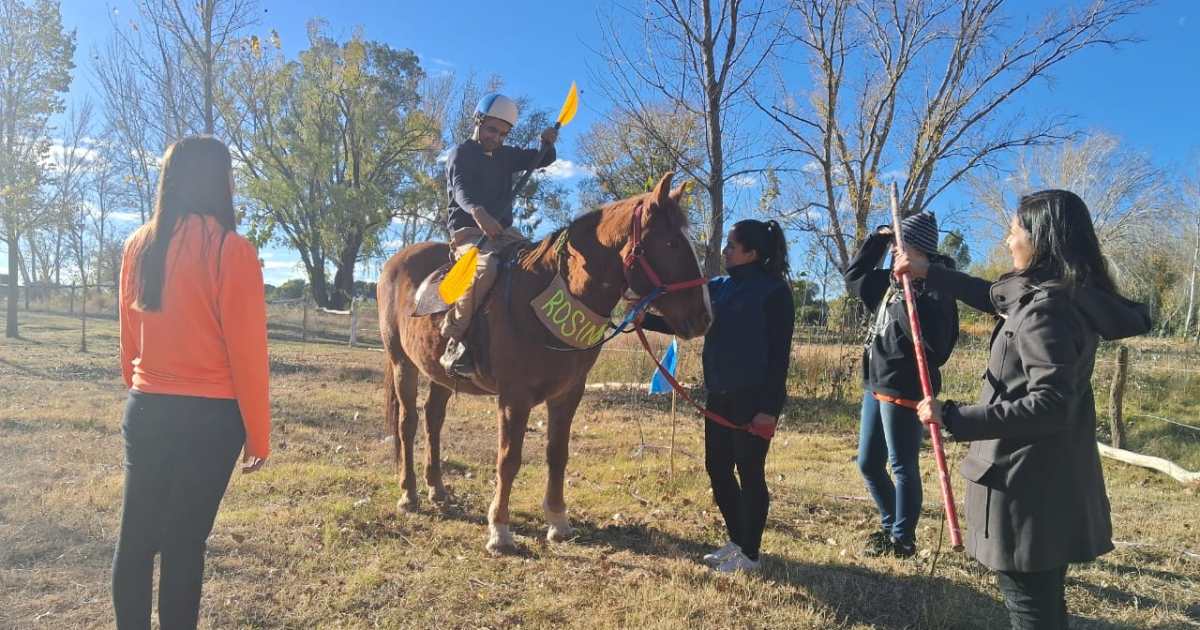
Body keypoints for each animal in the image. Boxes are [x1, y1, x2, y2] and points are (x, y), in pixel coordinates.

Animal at [377, 172, 712, 553]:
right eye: (671, 243)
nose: (704, 318)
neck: (542, 296)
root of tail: (397, 260)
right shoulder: (514, 397)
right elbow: (509, 459)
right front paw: (500, 530)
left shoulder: (568, 394)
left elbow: (557, 454)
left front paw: (557, 520)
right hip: (401, 362)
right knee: (408, 423)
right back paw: (409, 493)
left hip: (439, 373)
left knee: (434, 420)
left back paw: (437, 489)